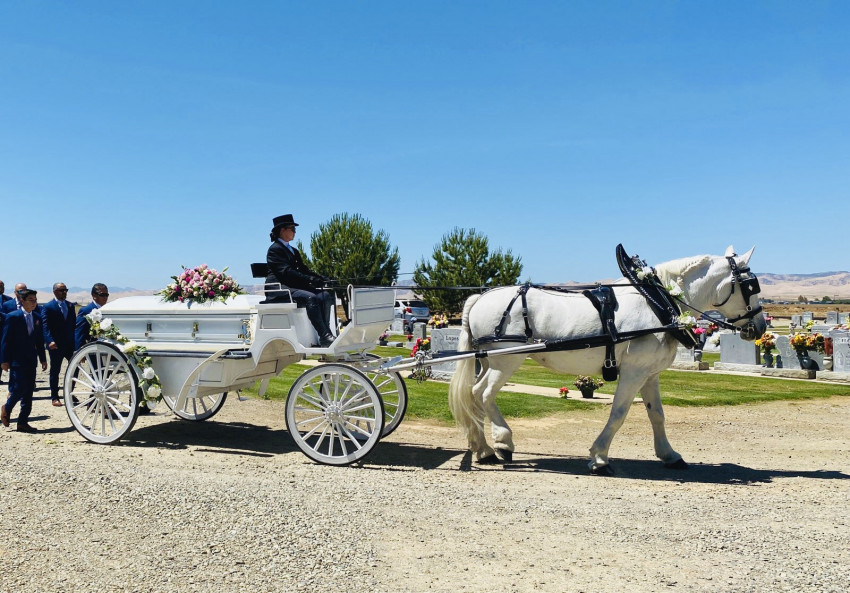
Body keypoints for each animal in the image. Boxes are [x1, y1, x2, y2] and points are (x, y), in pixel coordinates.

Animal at [447, 246, 766, 474]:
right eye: (752, 285)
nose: (760, 328)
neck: (658, 301)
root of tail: (479, 298)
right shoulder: (634, 372)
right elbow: (619, 413)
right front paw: (599, 458)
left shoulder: (650, 374)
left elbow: (657, 415)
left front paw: (670, 455)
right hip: (506, 361)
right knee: (483, 394)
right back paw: (502, 443)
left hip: (490, 361)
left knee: (473, 395)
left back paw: (482, 448)